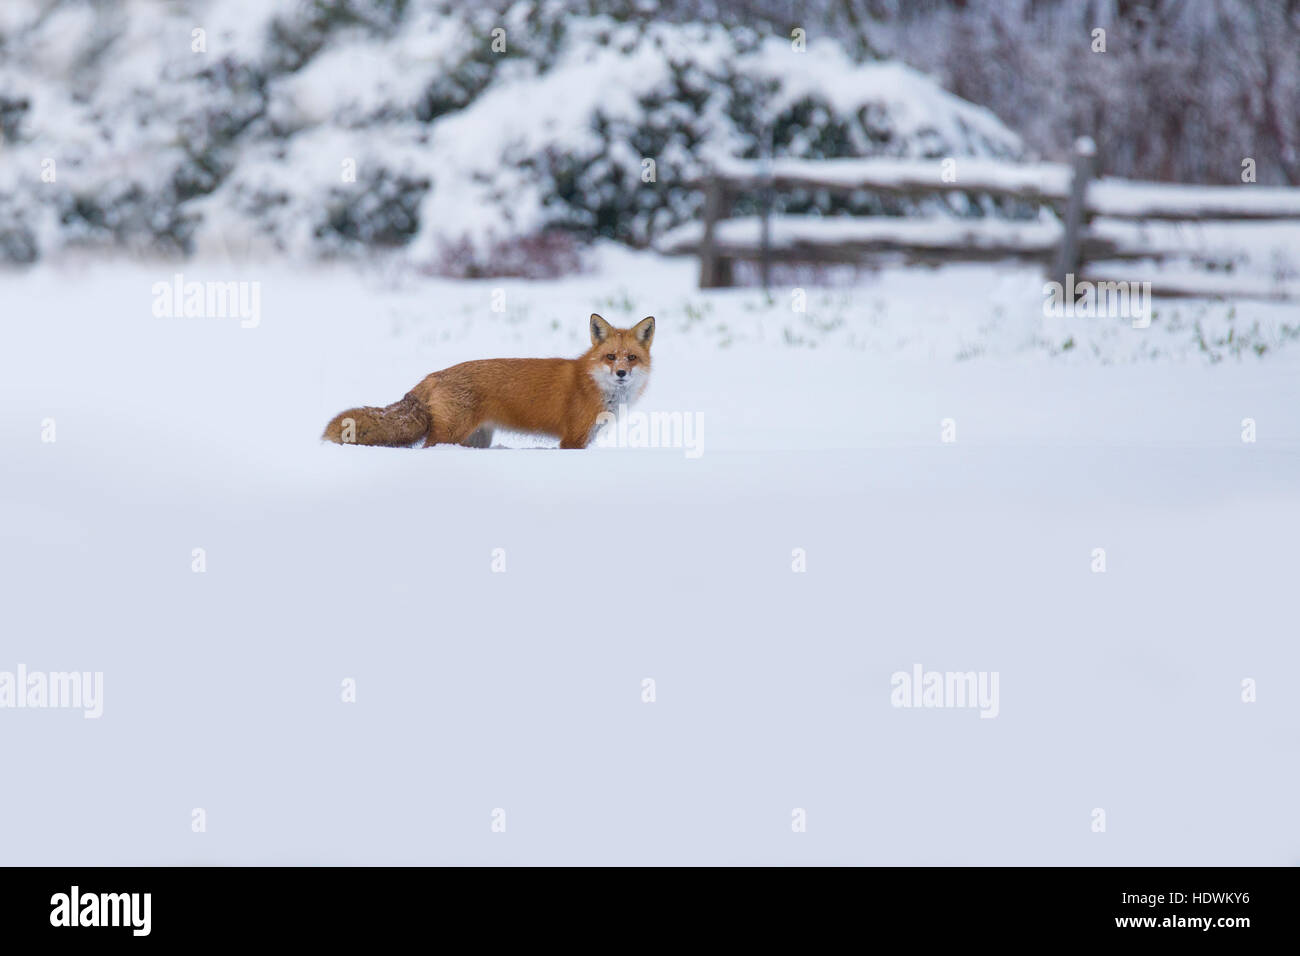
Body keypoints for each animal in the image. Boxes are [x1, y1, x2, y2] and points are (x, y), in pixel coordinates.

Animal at [322, 313, 654, 449]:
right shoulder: (572, 440)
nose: (621, 373)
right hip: (449, 435)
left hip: (476, 439)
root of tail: (431, 375)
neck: (593, 384)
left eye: (631, 358)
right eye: (611, 357)